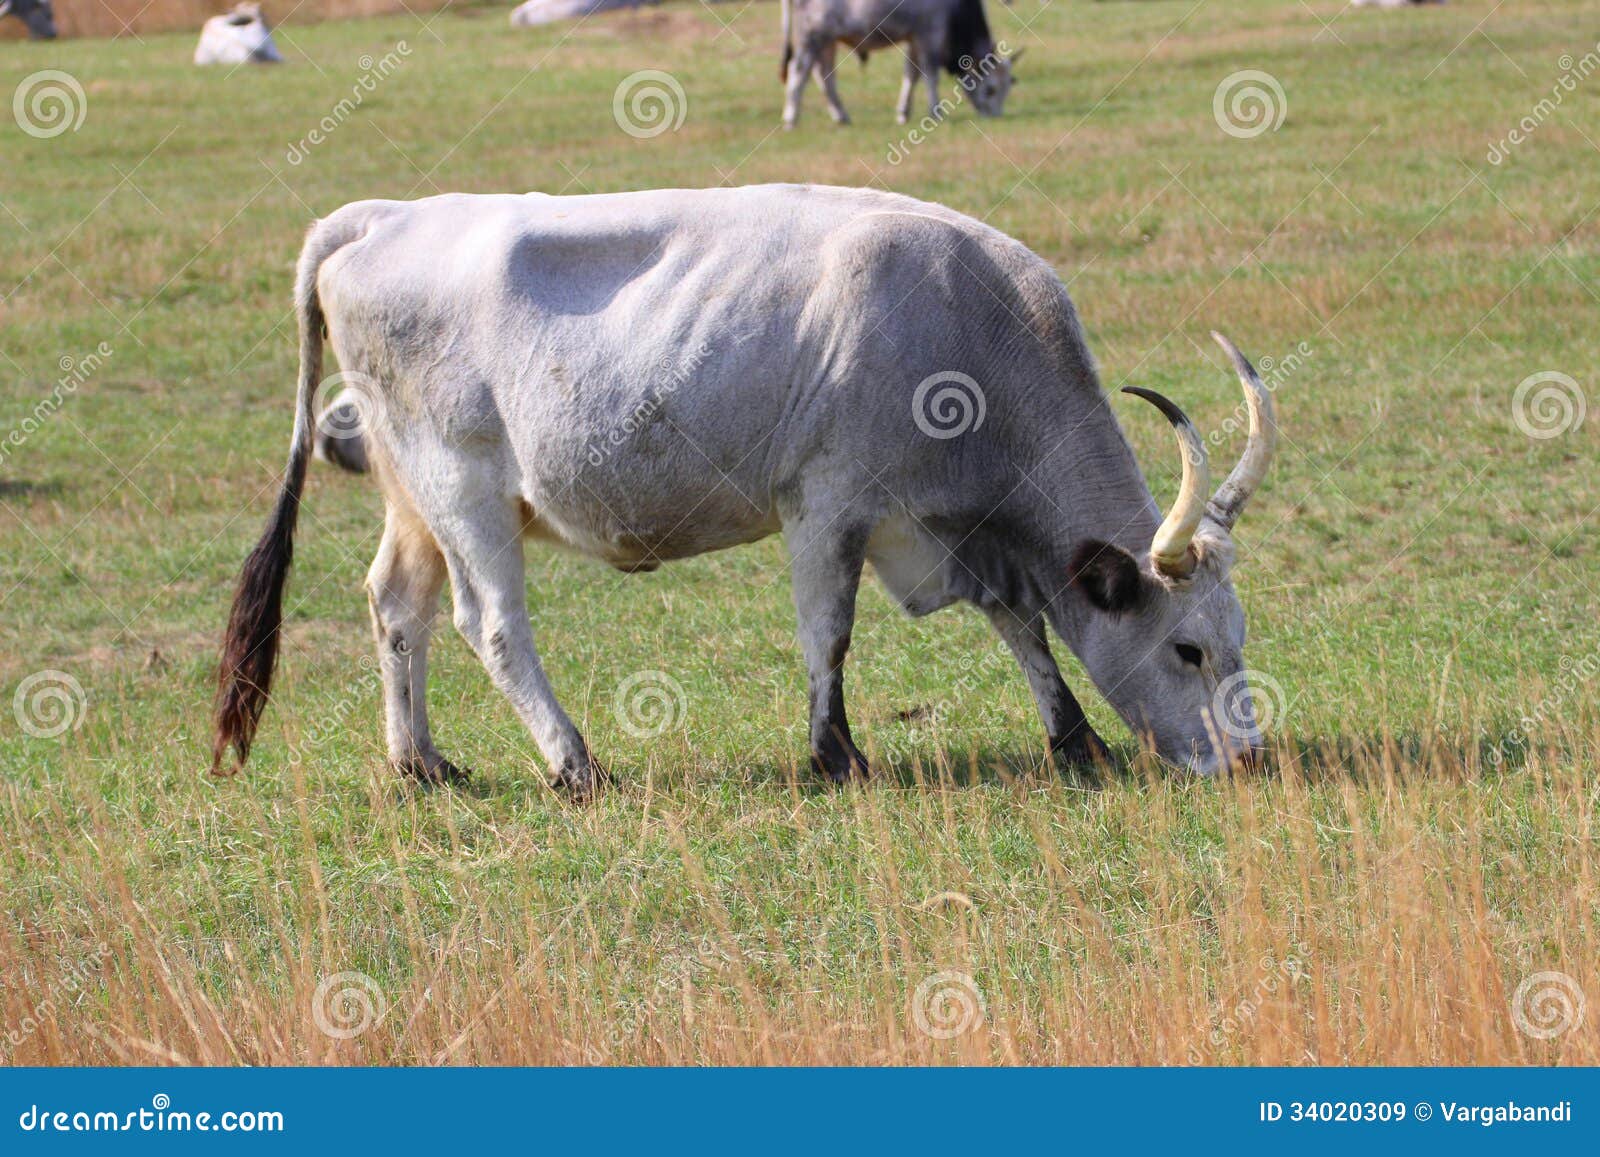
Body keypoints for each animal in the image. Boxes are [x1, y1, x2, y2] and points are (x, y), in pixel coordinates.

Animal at [212, 184, 1277, 800]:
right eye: (1184, 648)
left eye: (1236, 639)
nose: (1252, 758)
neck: (971, 324)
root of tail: (380, 215)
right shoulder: (828, 503)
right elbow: (828, 634)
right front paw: (835, 755)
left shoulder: (941, 527)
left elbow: (1021, 622)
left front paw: (1075, 738)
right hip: (461, 484)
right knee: (493, 624)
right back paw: (574, 762)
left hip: (415, 500)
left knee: (399, 605)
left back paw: (421, 763)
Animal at [779, 0, 1020, 128]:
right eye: (991, 89)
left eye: (1008, 86)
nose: (995, 116)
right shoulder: (929, 34)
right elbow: (930, 75)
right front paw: (935, 111)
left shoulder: (914, 39)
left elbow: (911, 74)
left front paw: (904, 112)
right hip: (812, 37)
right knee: (799, 72)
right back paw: (791, 118)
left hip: (827, 41)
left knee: (823, 75)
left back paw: (841, 115)